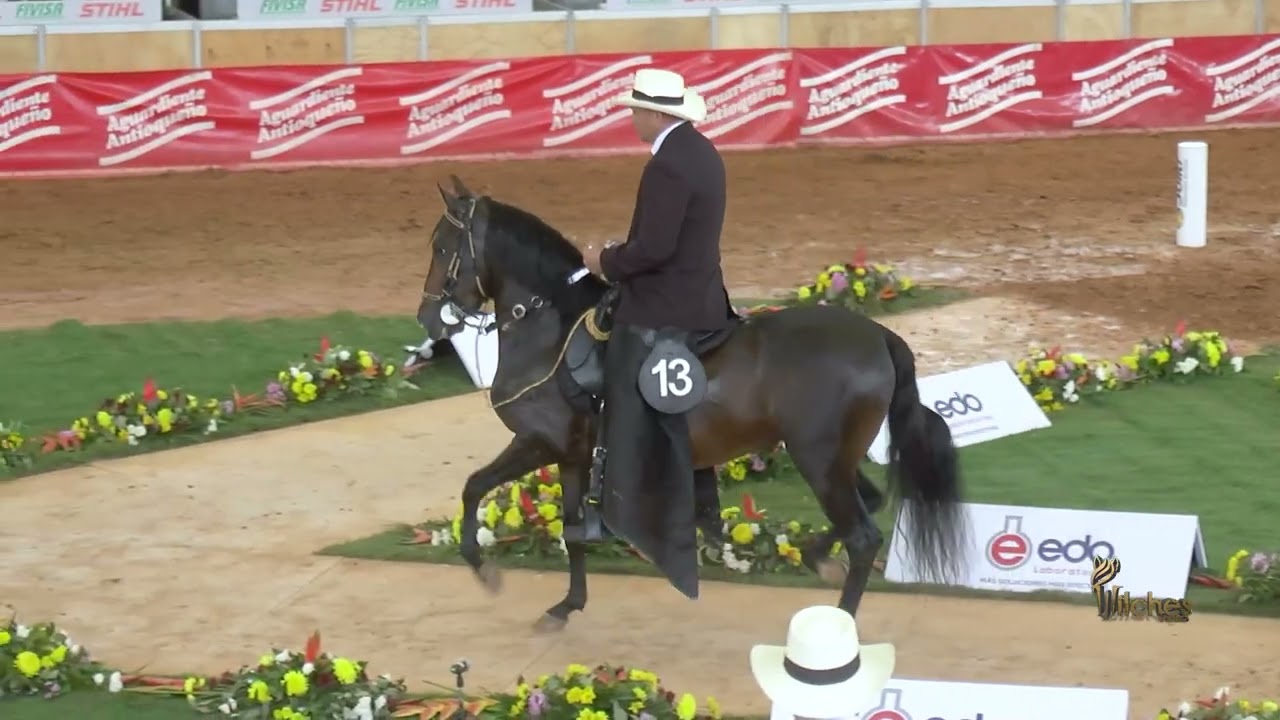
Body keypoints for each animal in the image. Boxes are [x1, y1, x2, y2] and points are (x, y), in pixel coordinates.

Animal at [415, 175, 968, 630]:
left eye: (442, 247)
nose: (427, 318)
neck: (551, 328)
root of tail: (879, 336)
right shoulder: (570, 454)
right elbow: (571, 533)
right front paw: (567, 606)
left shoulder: (538, 441)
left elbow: (472, 486)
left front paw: (482, 568)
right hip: (834, 458)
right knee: (867, 508)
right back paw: (819, 559)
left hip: (818, 458)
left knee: (863, 537)